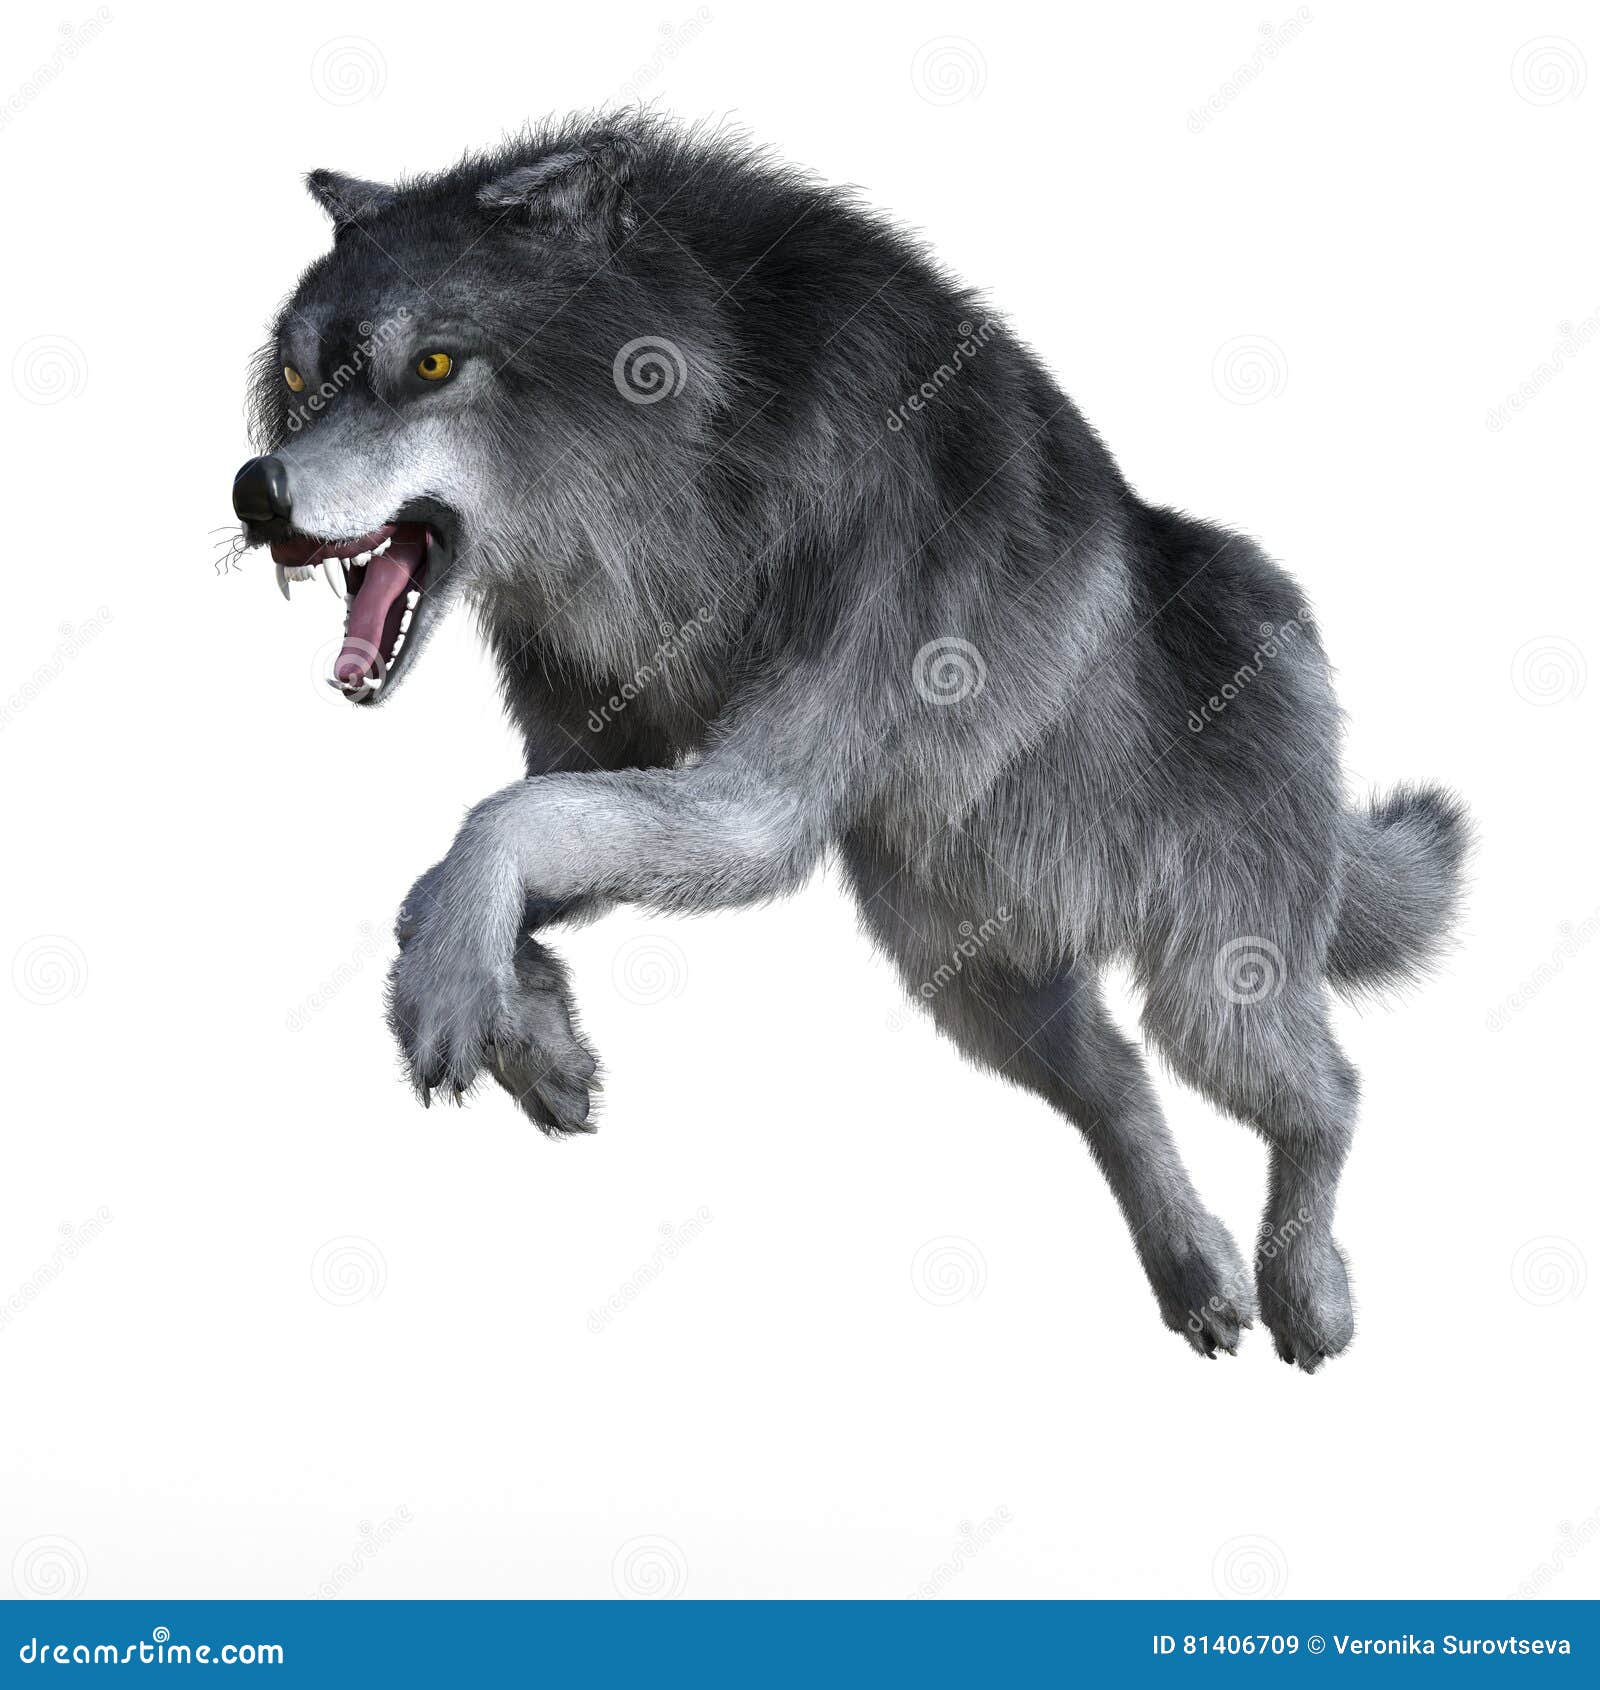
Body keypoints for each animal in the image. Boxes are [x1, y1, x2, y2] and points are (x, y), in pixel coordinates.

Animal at [233, 113, 1468, 1369]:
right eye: (298, 379)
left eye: (431, 366)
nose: (254, 493)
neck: (708, 438)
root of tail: (1302, 657)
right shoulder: (609, 757)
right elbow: (448, 874)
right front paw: (533, 1039)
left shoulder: (758, 806)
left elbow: (496, 826)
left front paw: (449, 1003)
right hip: (978, 985)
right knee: (1117, 1084)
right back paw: (1197, 1275)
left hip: (1214, 997)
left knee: (1328, 1093)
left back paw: (1307, 1293)